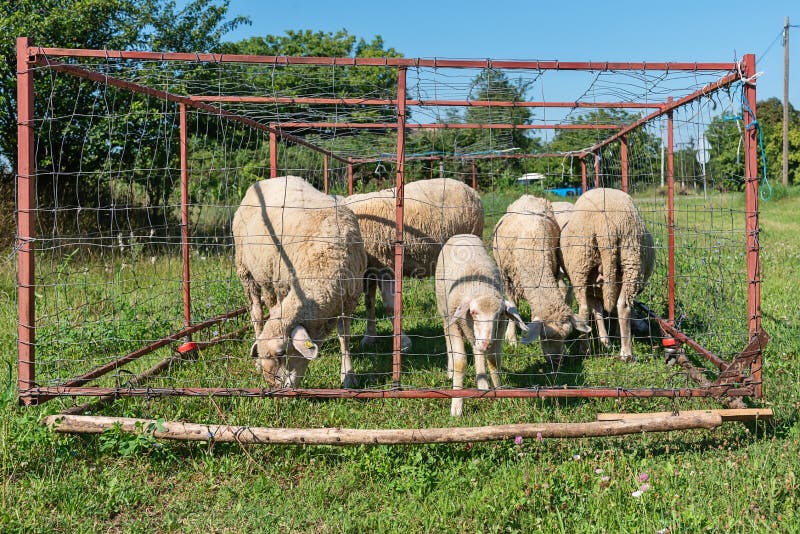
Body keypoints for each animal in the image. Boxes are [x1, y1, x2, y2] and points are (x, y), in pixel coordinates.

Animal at [233, 176, 367, 388]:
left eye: (281, 353)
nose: (272, 385)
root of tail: (267, 180)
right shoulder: (284, 286)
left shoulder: (348, 300)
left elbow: (344, 336)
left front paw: (348, 376)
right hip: (247, 271)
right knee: (257, 311)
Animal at [340, 178, 484, 350]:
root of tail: (472, 190)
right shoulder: (369, 270)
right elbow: (369, 302)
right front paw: (369, 337)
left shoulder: (385, 266)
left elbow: (390, 306)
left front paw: (403, 342)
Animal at [435, 234, 528, 416]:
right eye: (473, 312)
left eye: (499, 314)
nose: (486, 344)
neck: (480, 286)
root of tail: (462, 234)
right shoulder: (456, 324)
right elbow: (460, 363)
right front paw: (456, 405)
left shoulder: (498, 330)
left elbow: (494, 360)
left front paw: (499, 391)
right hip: (445, 311)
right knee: (448, 337)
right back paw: (451, 371)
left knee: (477, 349)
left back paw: (482, 383)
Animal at [492, 195, 590, 365]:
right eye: (543, 337)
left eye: (565, 337)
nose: (557, 361)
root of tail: (528, 196)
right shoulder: (508, 279)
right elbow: (513, 306)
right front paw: (512, 338)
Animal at [559, 187, 655, 361]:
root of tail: (605, 226)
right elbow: (601, 310)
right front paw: (608, 339)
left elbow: (597, 310)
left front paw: (605, 339)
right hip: (631, 259)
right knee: (623, 305)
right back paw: (626, 353)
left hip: (581, 264)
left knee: (584, 308)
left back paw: (585, 349)